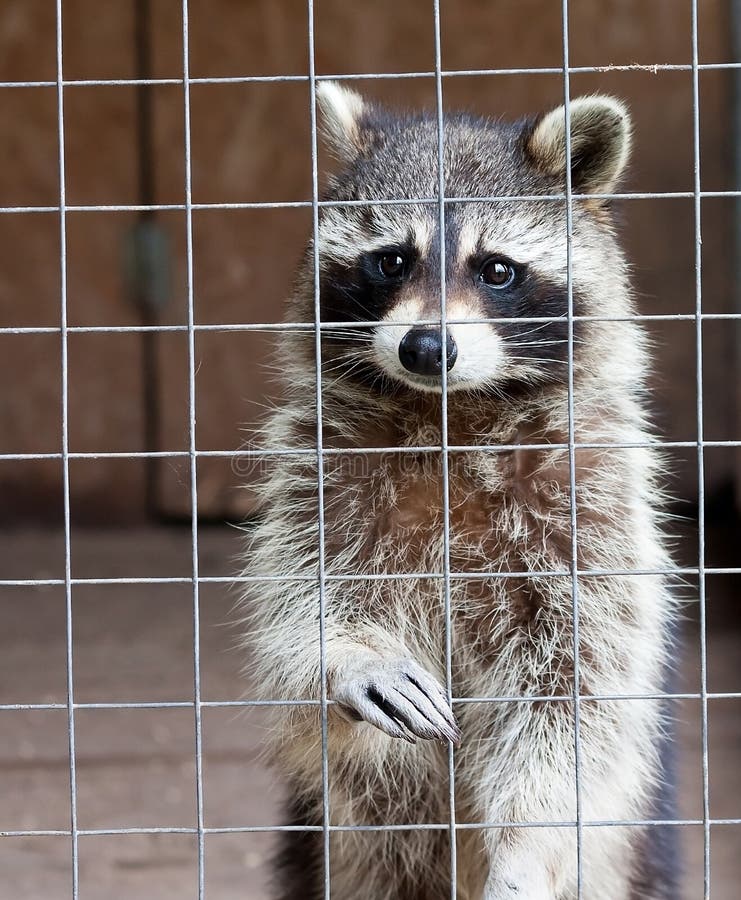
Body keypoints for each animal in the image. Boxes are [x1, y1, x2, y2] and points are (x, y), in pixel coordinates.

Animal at [240, 83, 677, 900]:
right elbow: (300, 602)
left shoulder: (592, 496)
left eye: (496, 269)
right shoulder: (320, 465)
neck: (453, 416)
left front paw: (527, 849)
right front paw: (351, 655)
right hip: (341, 846)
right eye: (390, 261)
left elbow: (576, 697)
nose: (425, 347)